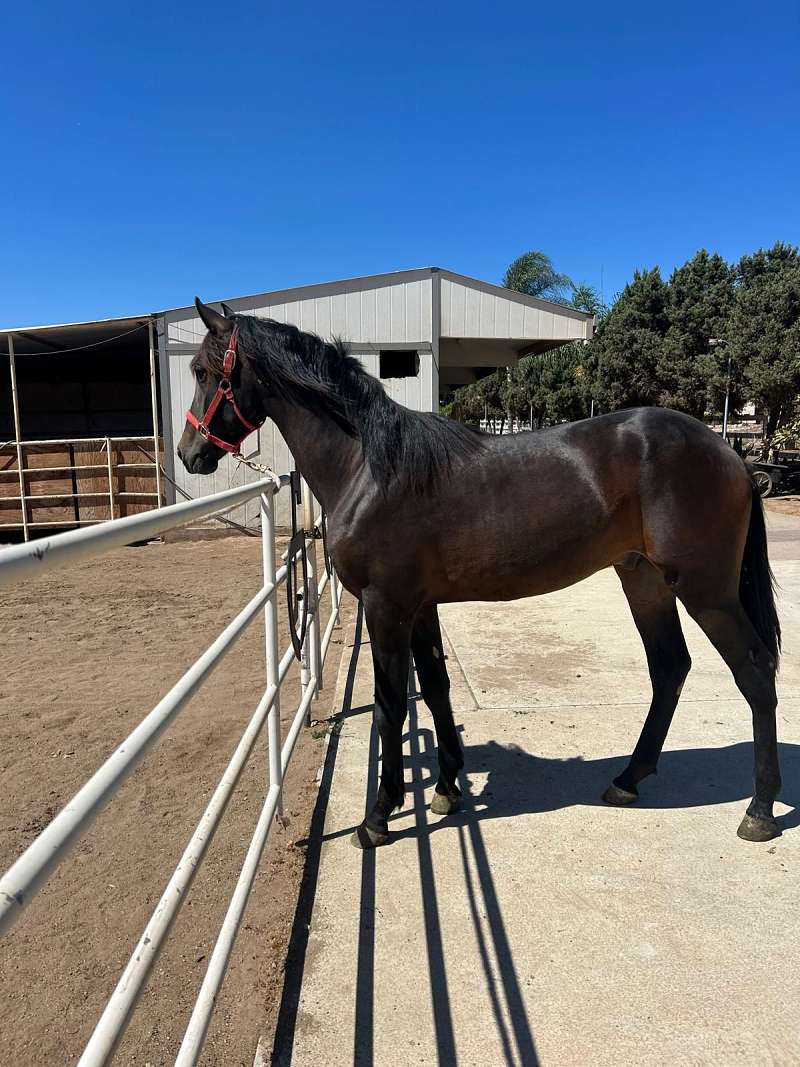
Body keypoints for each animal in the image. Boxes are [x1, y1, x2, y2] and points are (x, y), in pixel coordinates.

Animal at [178, 299, 782, 849]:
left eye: (204, 371)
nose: (189, 454)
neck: (368, 468)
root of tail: (728, 450)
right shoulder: (420, 606)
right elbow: (435, 687)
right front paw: (446, 788)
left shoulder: (386, 607)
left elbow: (391, 705)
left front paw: (378, 817)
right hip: (644, 580)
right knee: (670, 667)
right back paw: (628, 780)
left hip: (706, 591)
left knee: (754, 672)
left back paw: (759, 810)